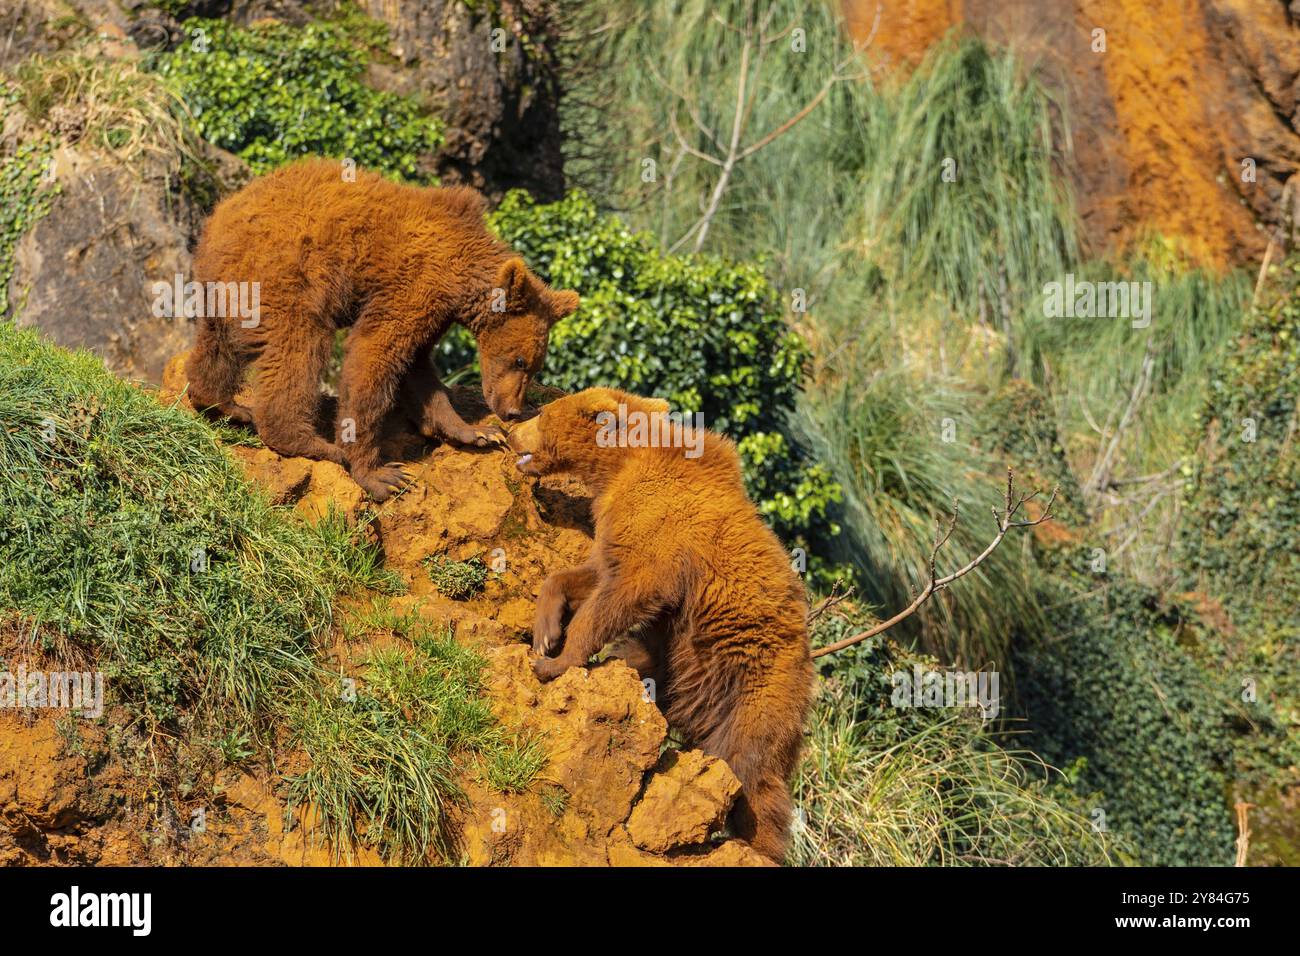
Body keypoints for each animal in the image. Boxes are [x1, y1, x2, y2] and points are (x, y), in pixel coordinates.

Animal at [183, 158, 580, 501]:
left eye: (534, 365)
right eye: (520, 360)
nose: (511, 411)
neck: (462, 274)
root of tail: (223, 211)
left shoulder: (432, 307)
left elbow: (418, 368)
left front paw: (476, 432)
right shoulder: (414, 284)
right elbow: (374, 356)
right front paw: (380, 474)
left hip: (227, 283)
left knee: (218, 343)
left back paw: (224, 404)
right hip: (285, 274)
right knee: (298, 346)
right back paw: (307, 441)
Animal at [506, 387, 813, 861]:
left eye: (541, 414)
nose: (508, 430)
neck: (618, 465)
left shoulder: (659, 525)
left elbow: (626, 591)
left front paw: (556, 661)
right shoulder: (617, 522)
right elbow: (593, 572)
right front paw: (545, 633)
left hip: (761, 682)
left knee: (754, 768)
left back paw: (756, 847)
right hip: (688, 665)